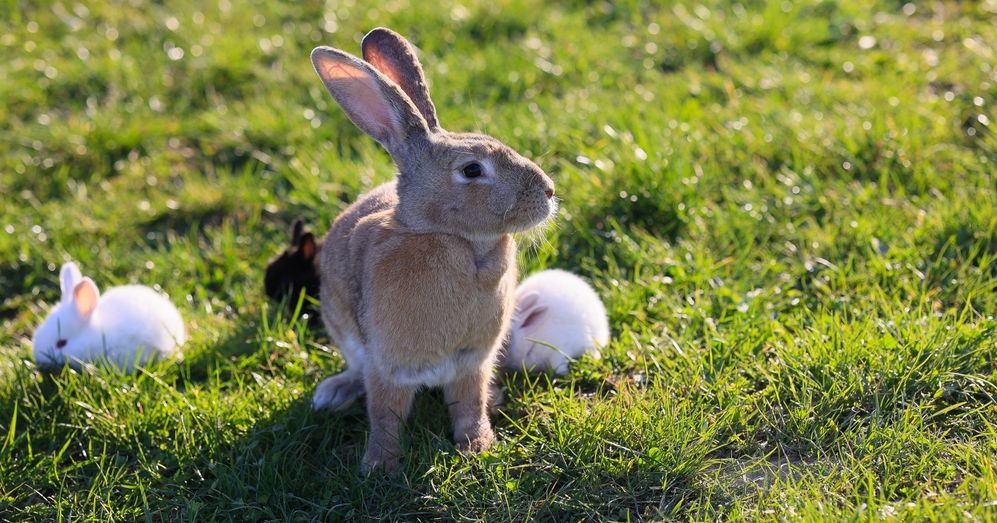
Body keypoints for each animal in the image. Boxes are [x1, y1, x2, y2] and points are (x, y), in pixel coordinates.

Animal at [307, 27, 556, 473]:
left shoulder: (472, 362)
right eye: (472, 170)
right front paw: (380, 466)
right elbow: (385, 415)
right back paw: (333, 393)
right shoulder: (388, 366)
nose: (549, 192)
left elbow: (469, 406)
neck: (458, 241)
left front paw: (478, 445)